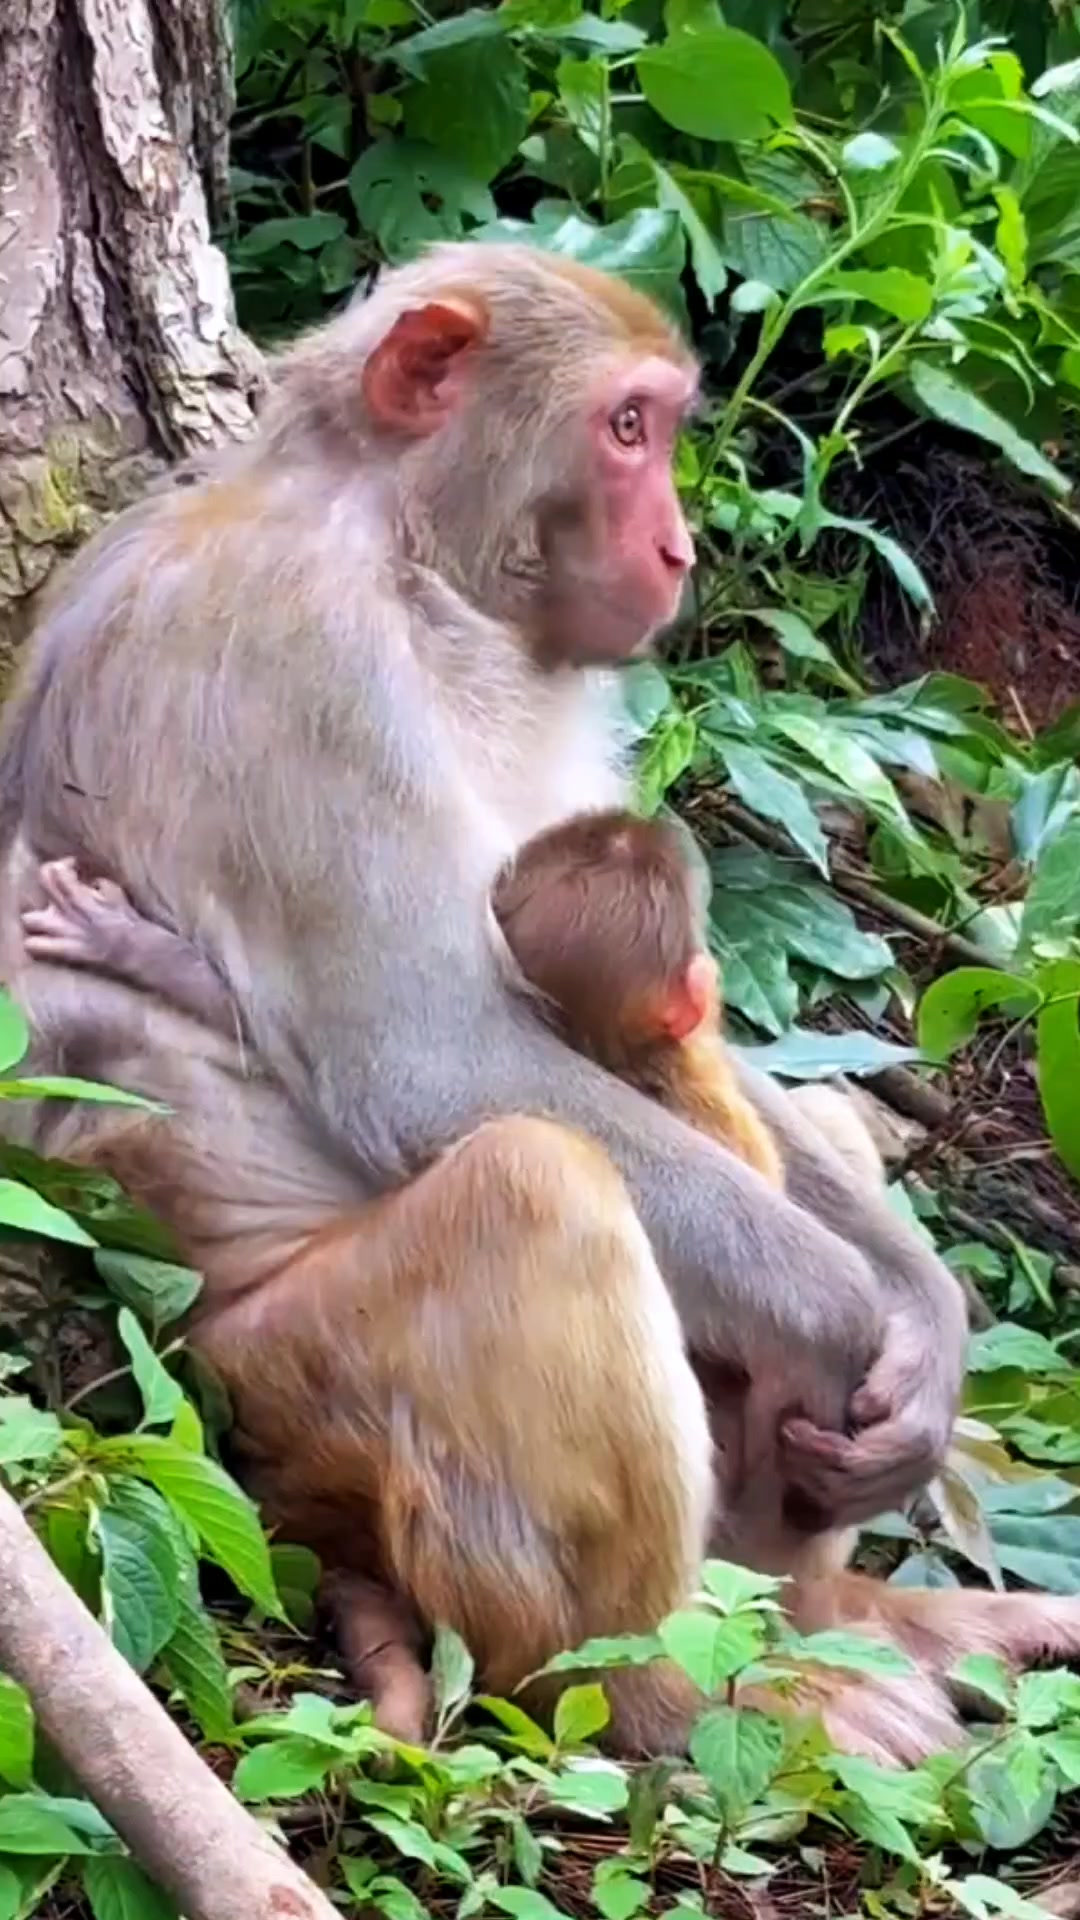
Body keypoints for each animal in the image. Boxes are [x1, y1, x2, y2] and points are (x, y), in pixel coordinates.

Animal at [0, 241, 1073, 1766]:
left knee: (795, 1124)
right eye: (627, 429)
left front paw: (925, 1332)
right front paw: (842, 1317)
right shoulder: (303, 654)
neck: (406, 561)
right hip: (282, 1398)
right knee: (532, 1188)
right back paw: (662, 1693)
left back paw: (864, 1615)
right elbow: (434, 1063)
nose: (676, 548)